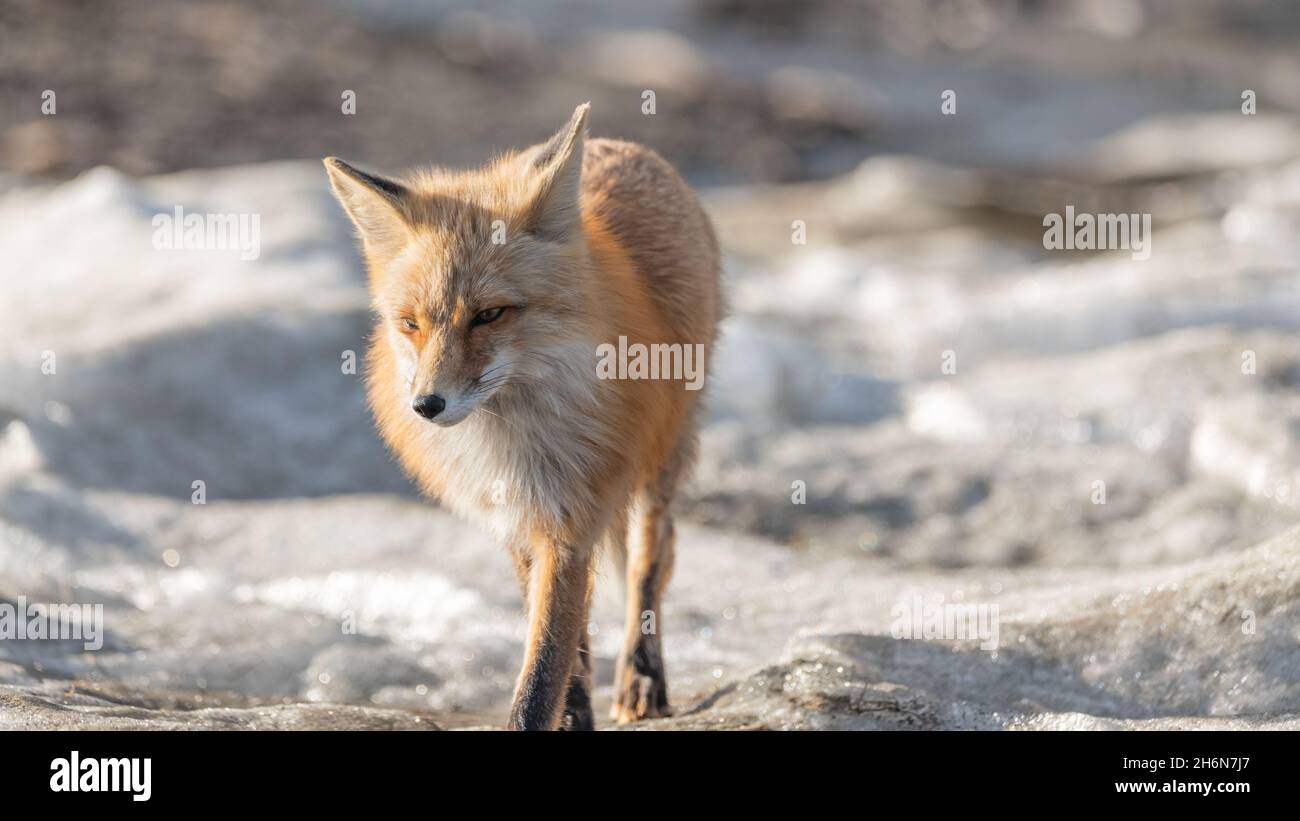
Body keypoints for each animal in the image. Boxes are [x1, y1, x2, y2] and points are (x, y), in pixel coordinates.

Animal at [324, 103, 722, 730]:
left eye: (489, 314)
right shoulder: (517, 519)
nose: (426, 405)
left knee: (653, 558)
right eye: (411, 324)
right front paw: (574, 713)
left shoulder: (568, 518)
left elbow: (540, 673)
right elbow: (563, 652)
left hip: (664, 455)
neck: (513, 441)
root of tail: (622, 146)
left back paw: (641, 674)